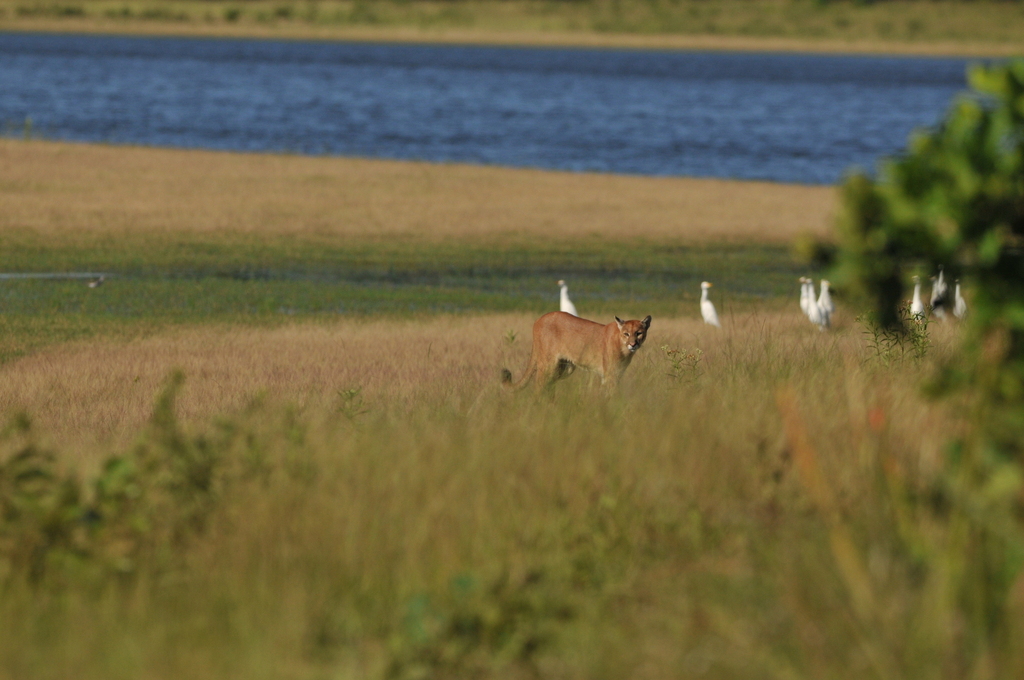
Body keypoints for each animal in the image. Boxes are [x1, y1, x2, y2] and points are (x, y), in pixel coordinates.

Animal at [501, 311, 652, 391]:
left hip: (564, 368)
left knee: (549, 386)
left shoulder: (616, 375)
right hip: (548, 364)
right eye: (626, 334)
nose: (633, 344)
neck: (624, 348)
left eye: (639, 333)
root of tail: (539, 319)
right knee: (539, 387)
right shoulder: (611, 376)